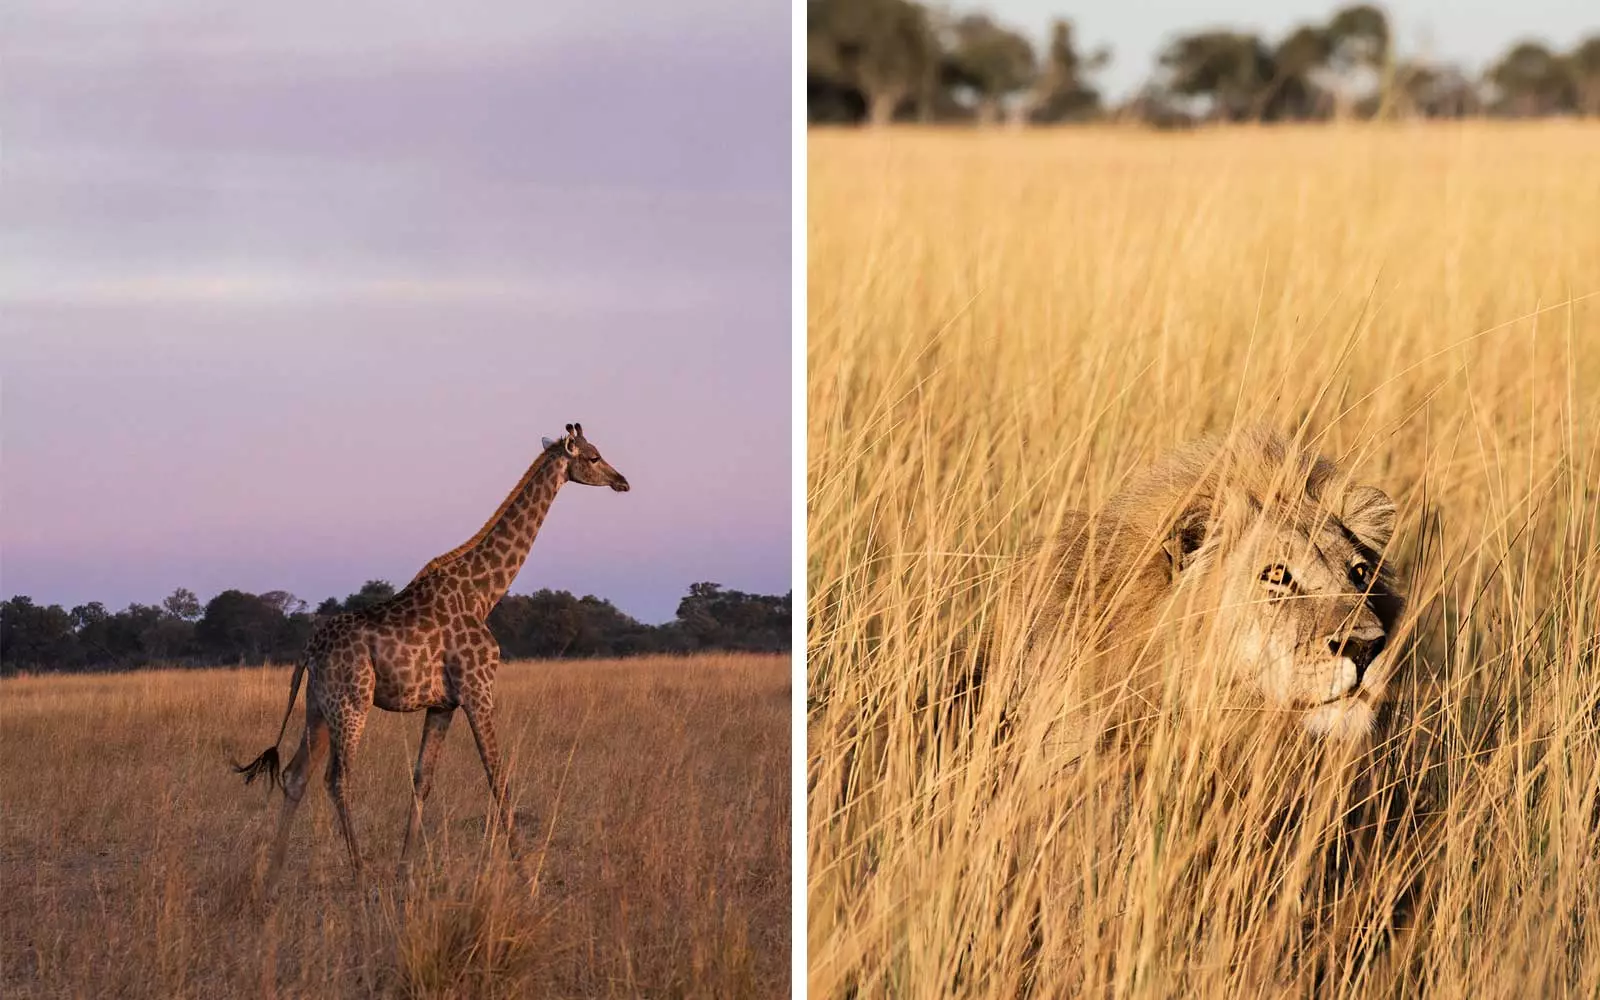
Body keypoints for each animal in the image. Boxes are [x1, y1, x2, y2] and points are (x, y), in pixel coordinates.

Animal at [233, 416, 630, 883]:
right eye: (593, 456)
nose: (622, 481)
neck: (483, 593)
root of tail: (308, 651)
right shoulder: (478, 690)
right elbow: (497, 775)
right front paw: (526, 873)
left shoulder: (443, 704)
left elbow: (422, 778)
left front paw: (405, 870)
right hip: (351, 702)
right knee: (337, 779)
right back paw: (360, 874)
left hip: (318, 706)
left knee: (296, 776)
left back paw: (271, 878)